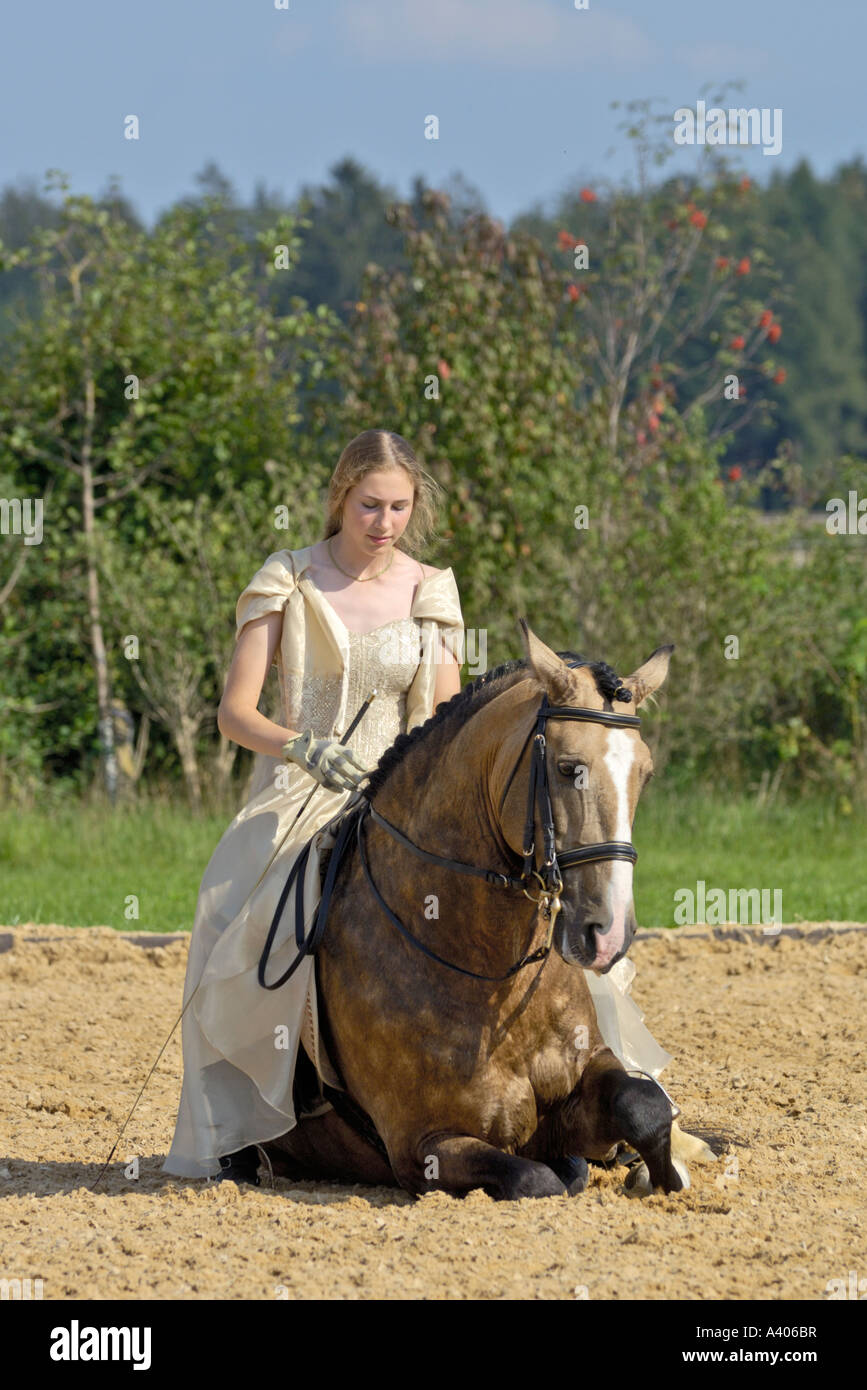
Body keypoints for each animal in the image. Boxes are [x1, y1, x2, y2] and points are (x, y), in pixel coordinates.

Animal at [259, 622, 688, 1200]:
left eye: (644, 774)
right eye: (568, 768)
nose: (610, 934)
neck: (490, 971)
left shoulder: (587, 1072)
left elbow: (642, 1104)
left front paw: (664, 1179)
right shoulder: (423, 1146)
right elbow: (537, 1178)